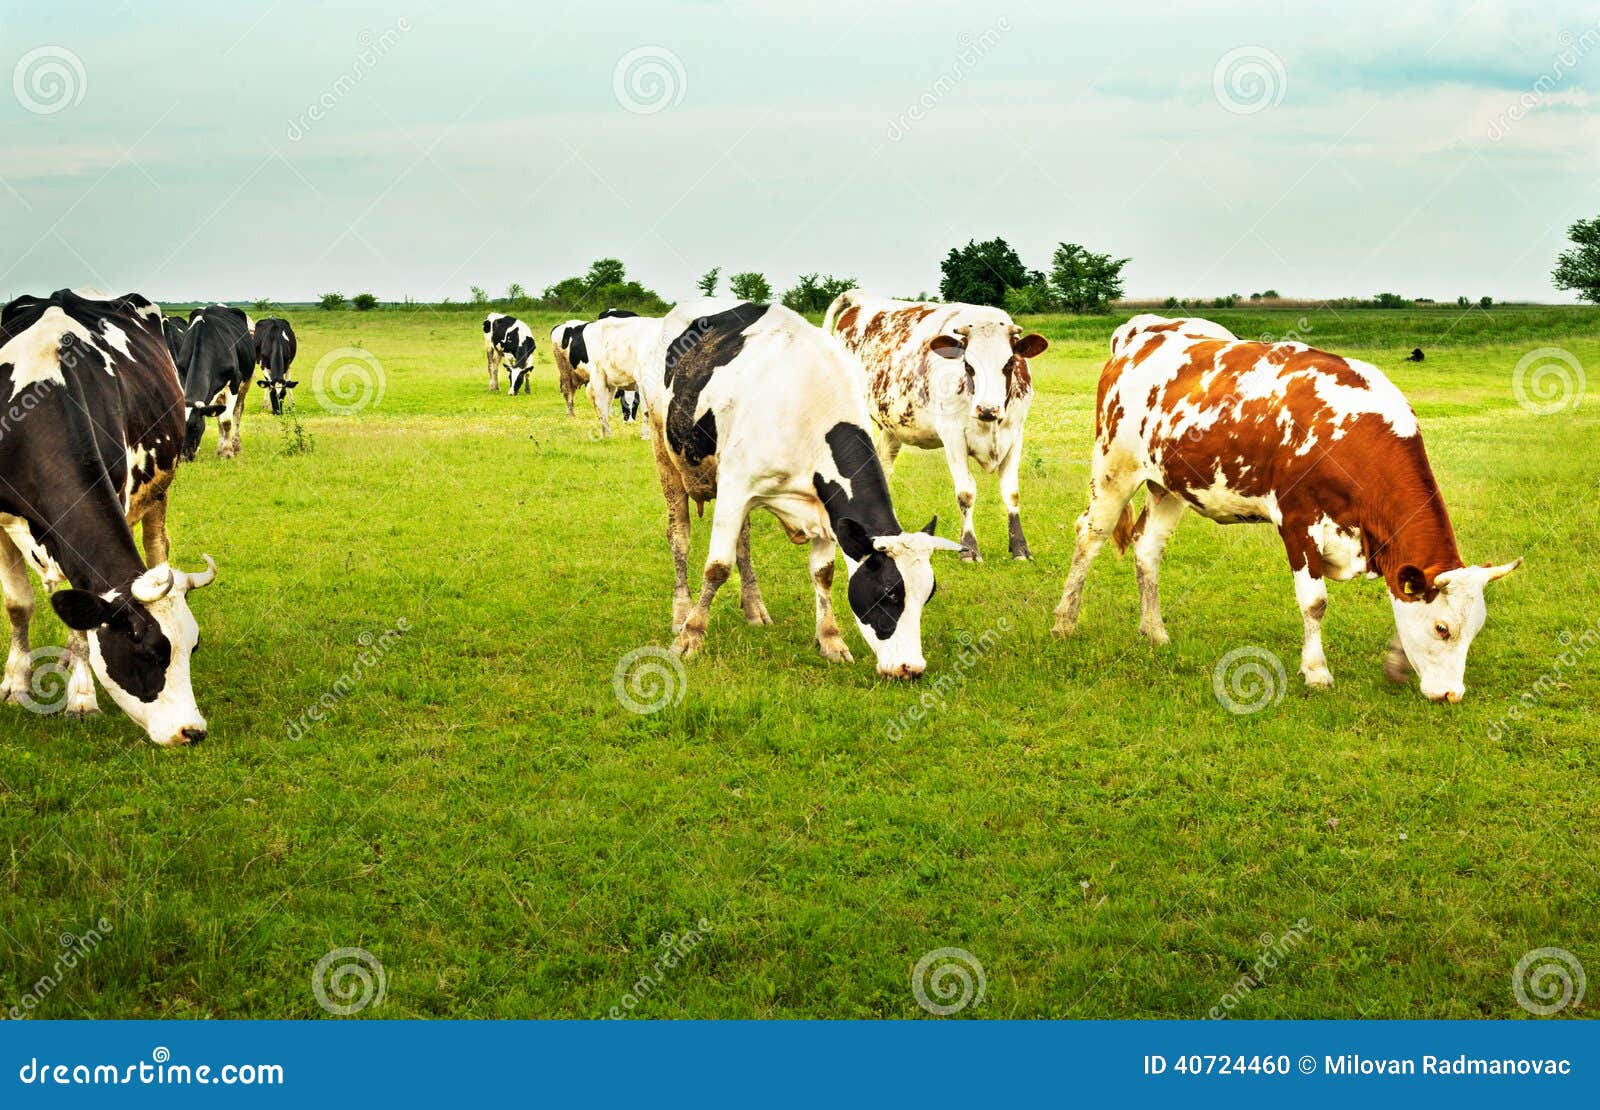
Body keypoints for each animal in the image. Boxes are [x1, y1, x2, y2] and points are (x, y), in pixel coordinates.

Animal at [0, 288, 217, 745]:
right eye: (149, 651)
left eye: (193, 647)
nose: (192, 731)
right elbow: (18, 605)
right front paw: (15, 684)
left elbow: (83, 624)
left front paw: (81, 698)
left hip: (158, 489)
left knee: (156, 547)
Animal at [177, 305, 255, 459]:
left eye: (195, 427)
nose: (184, 456)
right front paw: (219, 449)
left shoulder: (234, 383)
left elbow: (226, 421)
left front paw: (227, 452)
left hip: (245, 383)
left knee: (238, 411)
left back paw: (236, 446)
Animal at [638, 298, 964, 678]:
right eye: (888, 594)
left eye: (927, 594)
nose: (910, 667)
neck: (808, 405)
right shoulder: (735, 487)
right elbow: (717, 567)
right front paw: (690, 636)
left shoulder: (825, 507)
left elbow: (823, 574)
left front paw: (831, 640)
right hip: (663, 449)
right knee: (680, 536)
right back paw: (681, 611)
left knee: (743, 542)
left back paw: (754, 606)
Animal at [825, 291, 1048, 562]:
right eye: (968, 366)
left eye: (1009, 364)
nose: (987, 409)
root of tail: (860, 297)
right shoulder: (953, 436)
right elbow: (966, 492)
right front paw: (969, 549)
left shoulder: (1015, 433)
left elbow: (1011, 492)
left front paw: (1020, 548)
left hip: (891, 427)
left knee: (883, 466)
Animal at [1051, 314, 1521, 703]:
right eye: (1443, 628)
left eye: (1475, 628)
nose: (1452, 694)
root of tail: (1143, 331)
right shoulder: (1299, 520)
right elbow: (1315, 602)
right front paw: (1316, 672)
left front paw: (1395, 661)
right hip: (1114, 469)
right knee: (1089, 534)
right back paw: (1064, 622)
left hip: (1169, 485)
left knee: (1147, 548)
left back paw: (1155, 632)